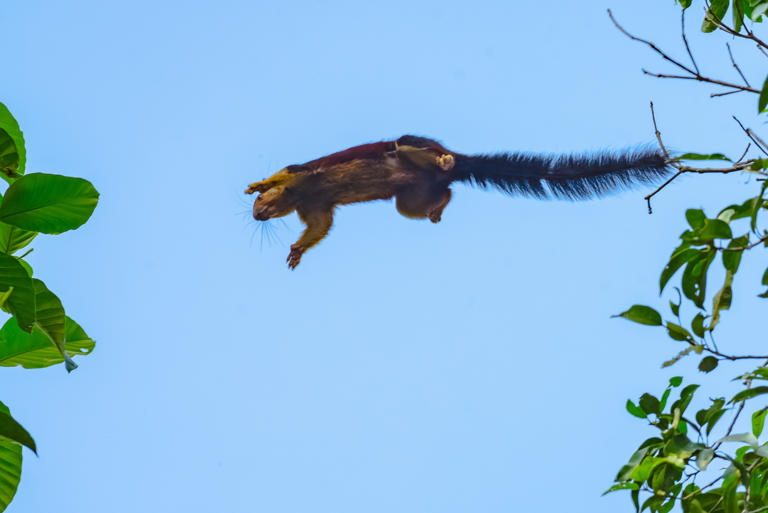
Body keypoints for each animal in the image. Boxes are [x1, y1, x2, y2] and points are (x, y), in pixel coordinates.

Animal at [245, 135, 670, 269]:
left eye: (259, 205)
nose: (257, 216)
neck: (300, 196)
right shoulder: (315, 209)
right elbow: (322, 227)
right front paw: (298, 250)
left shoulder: (300, 174)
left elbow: (280, 174)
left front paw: (255, 184)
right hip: (411, 196)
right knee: (439, 195)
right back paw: (438, 207)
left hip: (411, 147)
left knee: (408, 146)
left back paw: (445, 161)